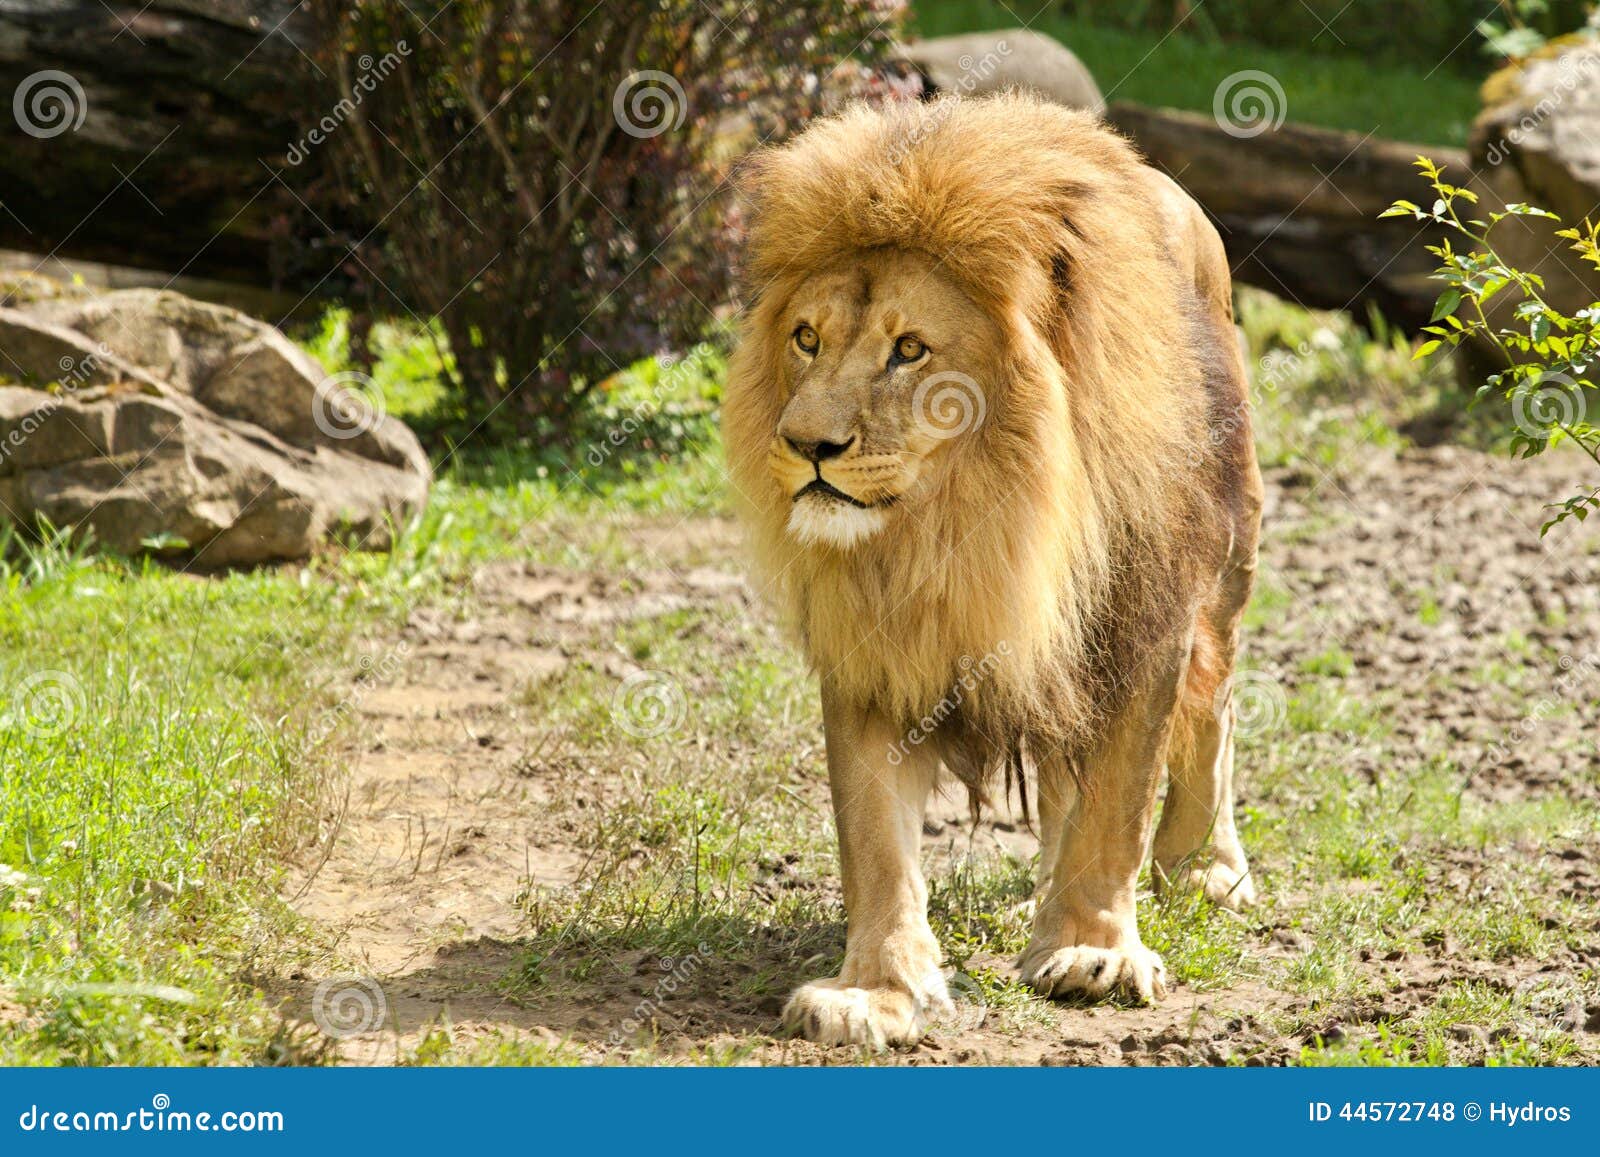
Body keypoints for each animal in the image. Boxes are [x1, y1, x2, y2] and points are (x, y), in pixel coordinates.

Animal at [722, 93, 1263, 1049]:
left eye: (909, 349)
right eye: (805, 338)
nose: (804, 444)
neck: (969, 521)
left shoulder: (1141, 617)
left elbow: (1121, 801)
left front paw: (1093, 950)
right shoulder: (872, 646)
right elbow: (874, 837)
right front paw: (874, 989)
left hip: (1228, 555)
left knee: (1216, 710)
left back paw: (1206, 868)